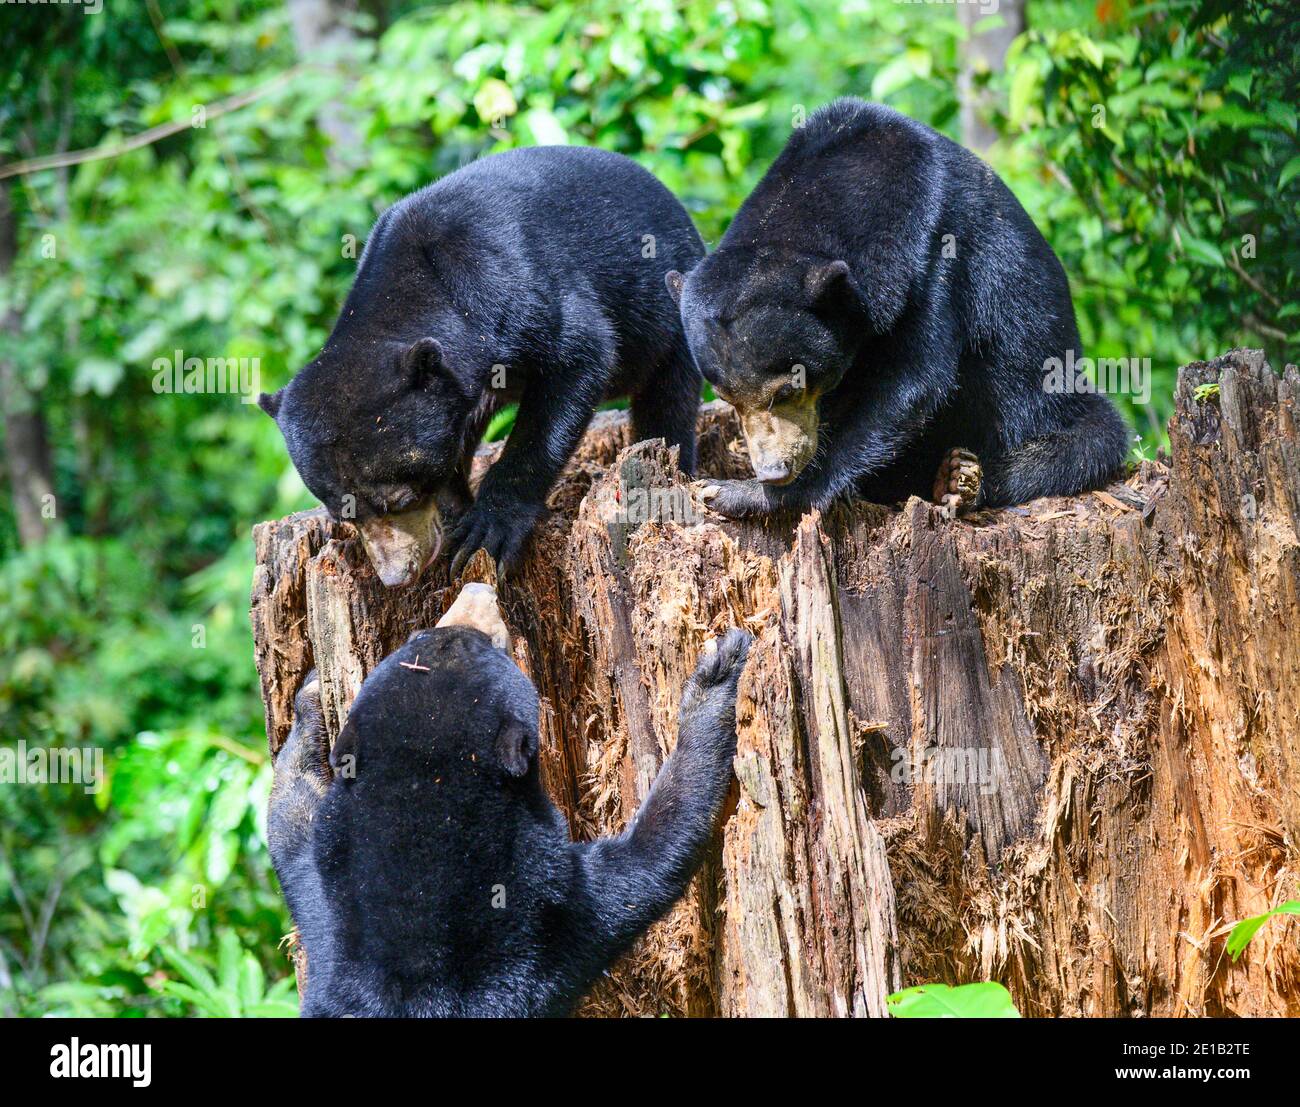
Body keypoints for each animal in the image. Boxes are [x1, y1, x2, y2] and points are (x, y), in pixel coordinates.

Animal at [258, 145, 705, 585]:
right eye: (343, 514)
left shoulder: (512, 287)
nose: (395, 576)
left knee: (669, 401)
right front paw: (457, 511)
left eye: (401, 498)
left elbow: (580, 355)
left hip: (673, 313)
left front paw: (487, 529)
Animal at [267, 582, 753, 1017]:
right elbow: (652, 858)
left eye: (416, 636)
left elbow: (289, 823)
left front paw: (308, 699)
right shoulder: (543, 921)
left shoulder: (327, 908)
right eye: (485, 645)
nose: (477, 588)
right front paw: (719, 674)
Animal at [665, 98, 1130, 521]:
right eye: (727, 398)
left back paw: (958, 480)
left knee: (1075, 443)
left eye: (787, 390)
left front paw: (739, 493)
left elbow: (913, 381)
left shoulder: (934, 256)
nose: (773, 471)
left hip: (1041, 389)